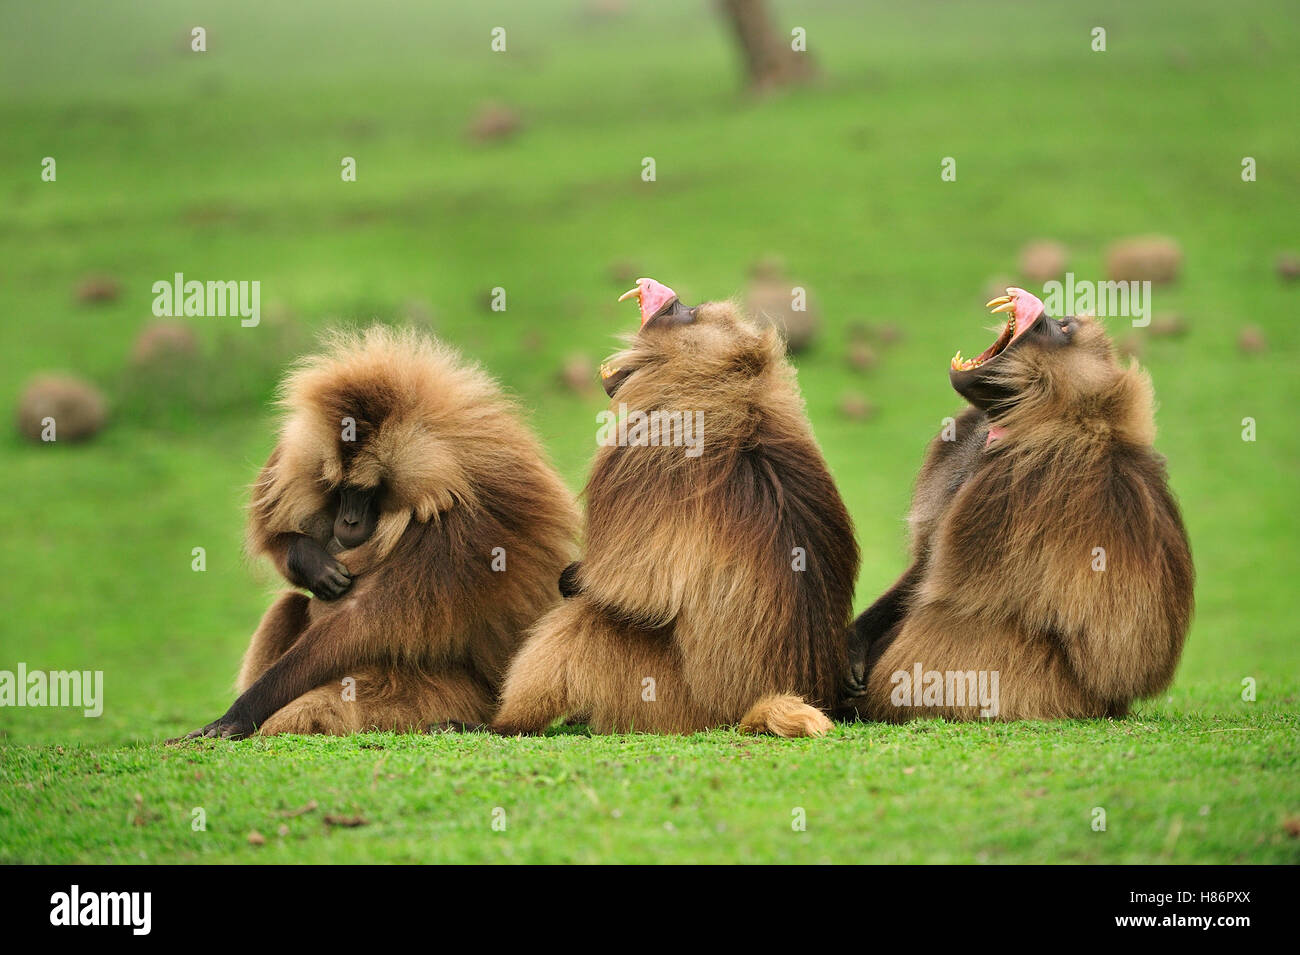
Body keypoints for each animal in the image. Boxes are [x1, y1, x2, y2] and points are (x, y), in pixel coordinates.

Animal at [173, 326, 579, 739]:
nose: (347, 523)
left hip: (447, 697)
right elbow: (278, 540)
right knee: (291, 603)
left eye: (366, 492)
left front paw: (240, 712)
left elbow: (360, 623)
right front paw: (312, 560)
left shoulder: (460, 530)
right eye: (338, 489)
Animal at [490, 277, 860, 737]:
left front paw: (575, 579)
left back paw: (506, 723)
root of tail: (745, 709)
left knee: (585, 624)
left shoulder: (641, 460)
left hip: (668, 700)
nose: (662, 292)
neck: (736, 406)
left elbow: (633, 596)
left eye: (685, 313)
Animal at [840, 287, 1194, 722]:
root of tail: (1111, 704)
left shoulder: (1019, 483)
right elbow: (925, 564)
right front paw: (853, 642)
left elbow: (950, 596)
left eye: (1063, 328)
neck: (1031, 420)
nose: (1042, 306)